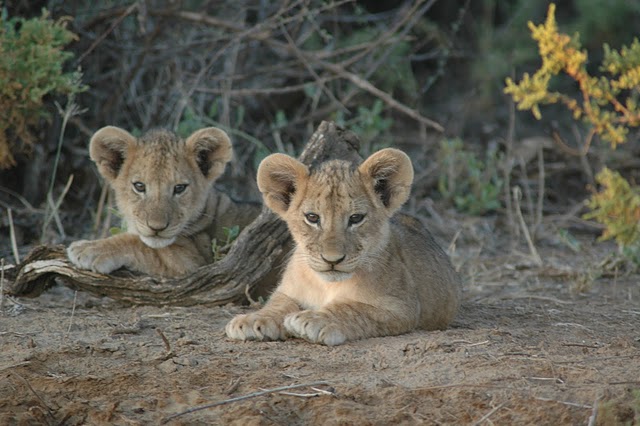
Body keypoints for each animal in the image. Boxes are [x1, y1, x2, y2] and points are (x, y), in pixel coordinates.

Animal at [67, 126, 260, 278]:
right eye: (139, 186)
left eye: (179, 188)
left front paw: (89, 248)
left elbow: (143, 246)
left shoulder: (197, 263)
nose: (157, 227)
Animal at [225, 148, 462, 346]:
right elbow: (278, 304)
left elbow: (352, 308)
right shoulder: (288, 292)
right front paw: (253, 320)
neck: (327, 285)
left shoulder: (402, 307)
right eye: (312, 217)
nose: (332, 260)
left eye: (356, 218)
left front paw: (315, 319)